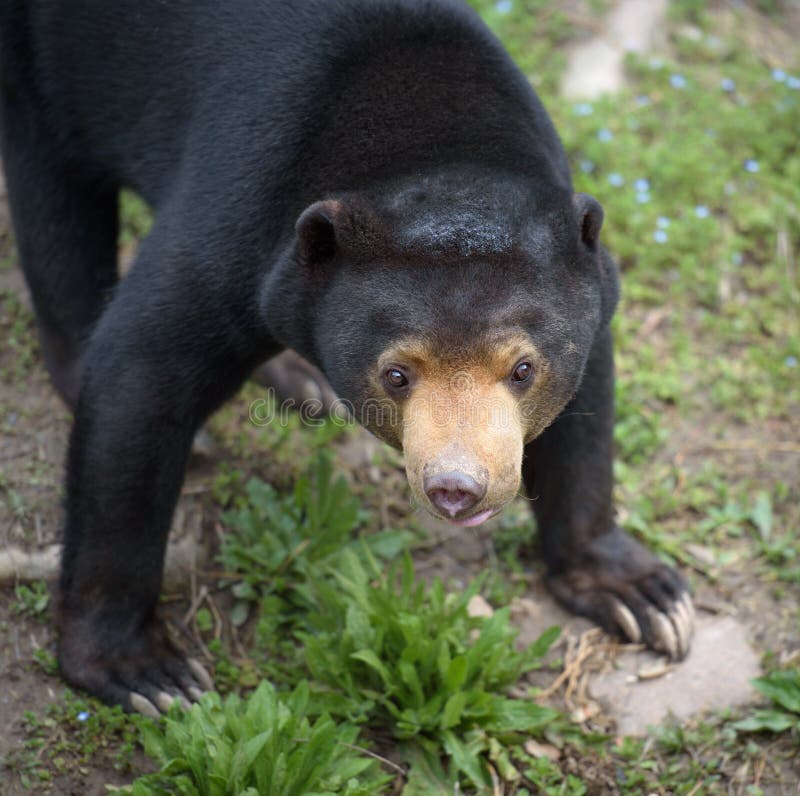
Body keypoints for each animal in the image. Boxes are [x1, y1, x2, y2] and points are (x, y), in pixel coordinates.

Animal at [0, 0, 693, 715]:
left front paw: (644, 596)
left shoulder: (588, 284)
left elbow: (586, 408)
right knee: (55, 203)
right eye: (396, 374)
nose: (457, 489)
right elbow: (142, 372)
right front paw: (146, 674)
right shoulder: (241, 213)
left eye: (523, 370)